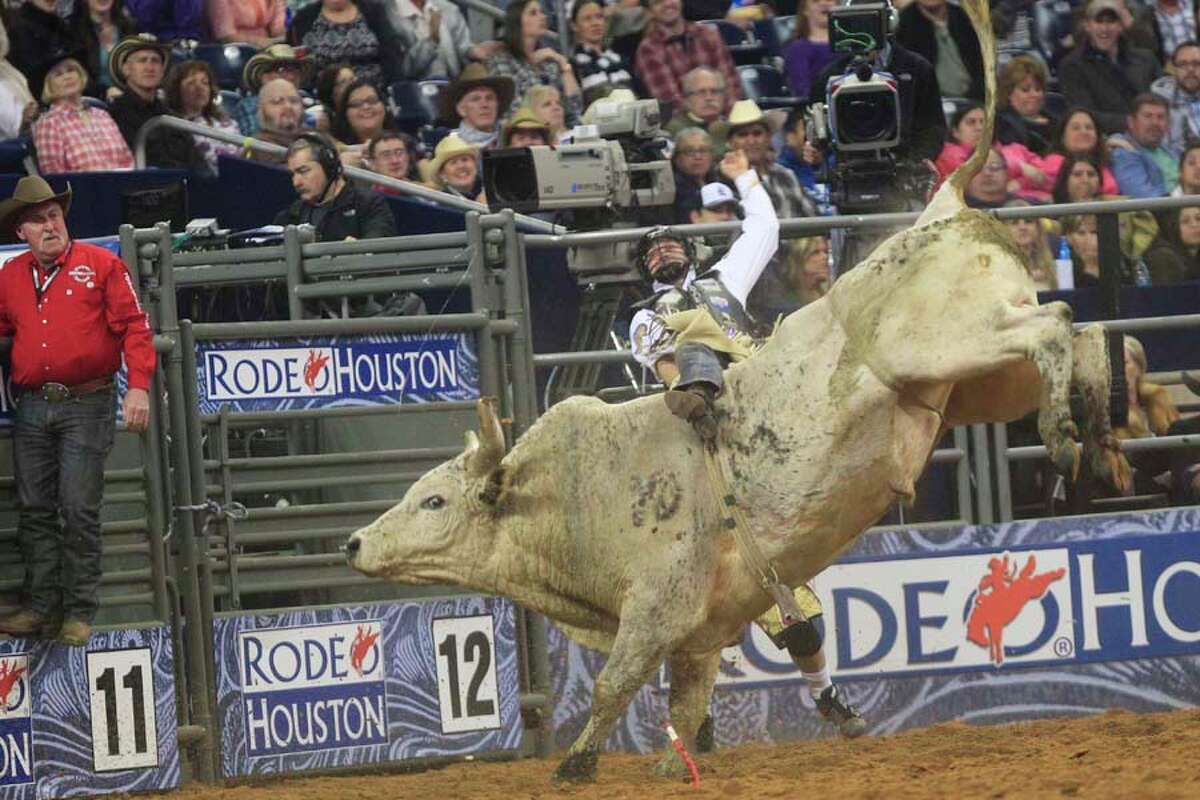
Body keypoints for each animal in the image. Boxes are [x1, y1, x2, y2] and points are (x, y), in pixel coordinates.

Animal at [345, 0, 1131, 782]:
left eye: (434, 499)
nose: (355, 542)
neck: (566, 493)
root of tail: (943, 202)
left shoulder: (656, 606)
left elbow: (616, 684)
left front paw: (575, 763)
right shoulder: (703, 628)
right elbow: (687, 699)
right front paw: (674, 766)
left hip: (946, 346)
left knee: (1056, 326)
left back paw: (1068, 439)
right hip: (978, 382)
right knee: (1082, 330)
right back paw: (1104, 445)